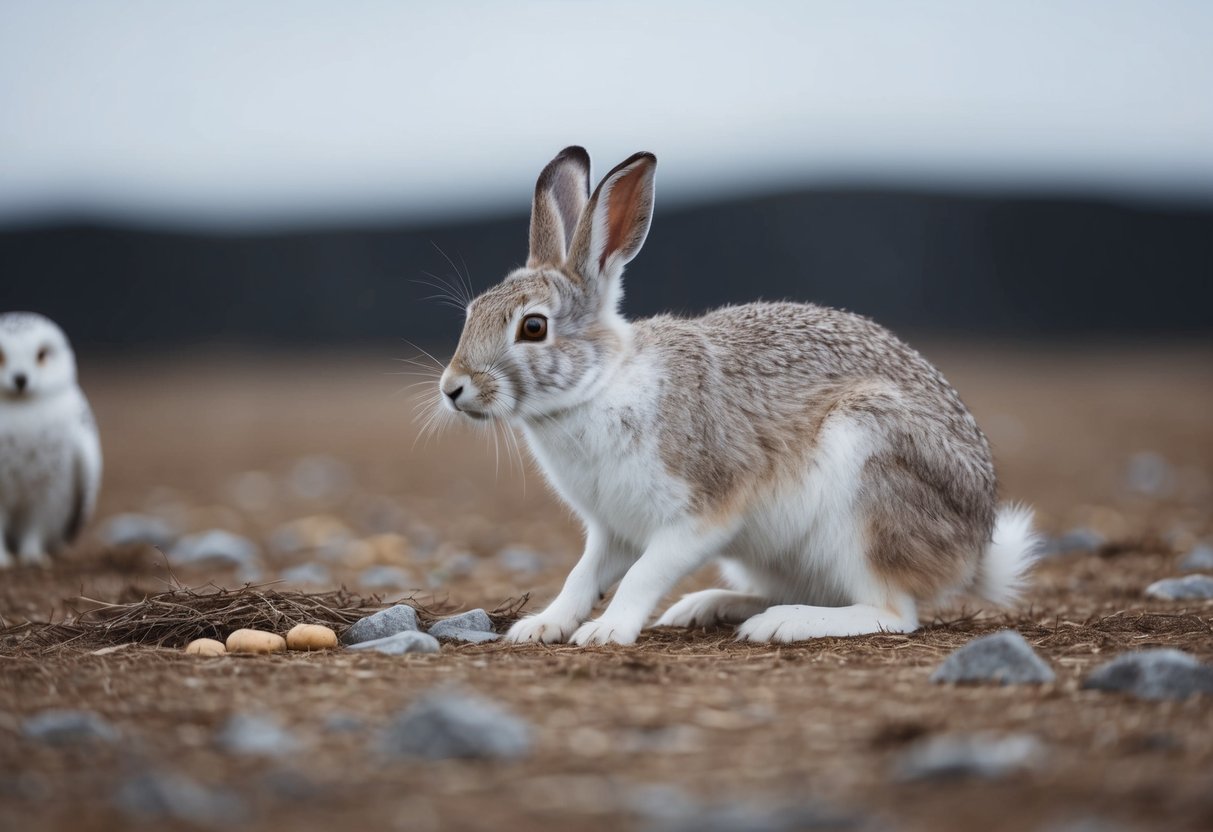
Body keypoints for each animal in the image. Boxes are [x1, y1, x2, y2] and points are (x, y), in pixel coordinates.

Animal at [438, 146, 1040, 645]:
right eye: (472, 313)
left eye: (533, 328)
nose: (452, 389)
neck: (600, 384)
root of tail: (974, 552)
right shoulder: (613, 531)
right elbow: (581, 576)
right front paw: (540, 627)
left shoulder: (701, 514)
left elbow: (642, 575)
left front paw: (606, 632)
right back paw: (708, 607)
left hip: (869, 482)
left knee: (891, 611)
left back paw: (780, 624)